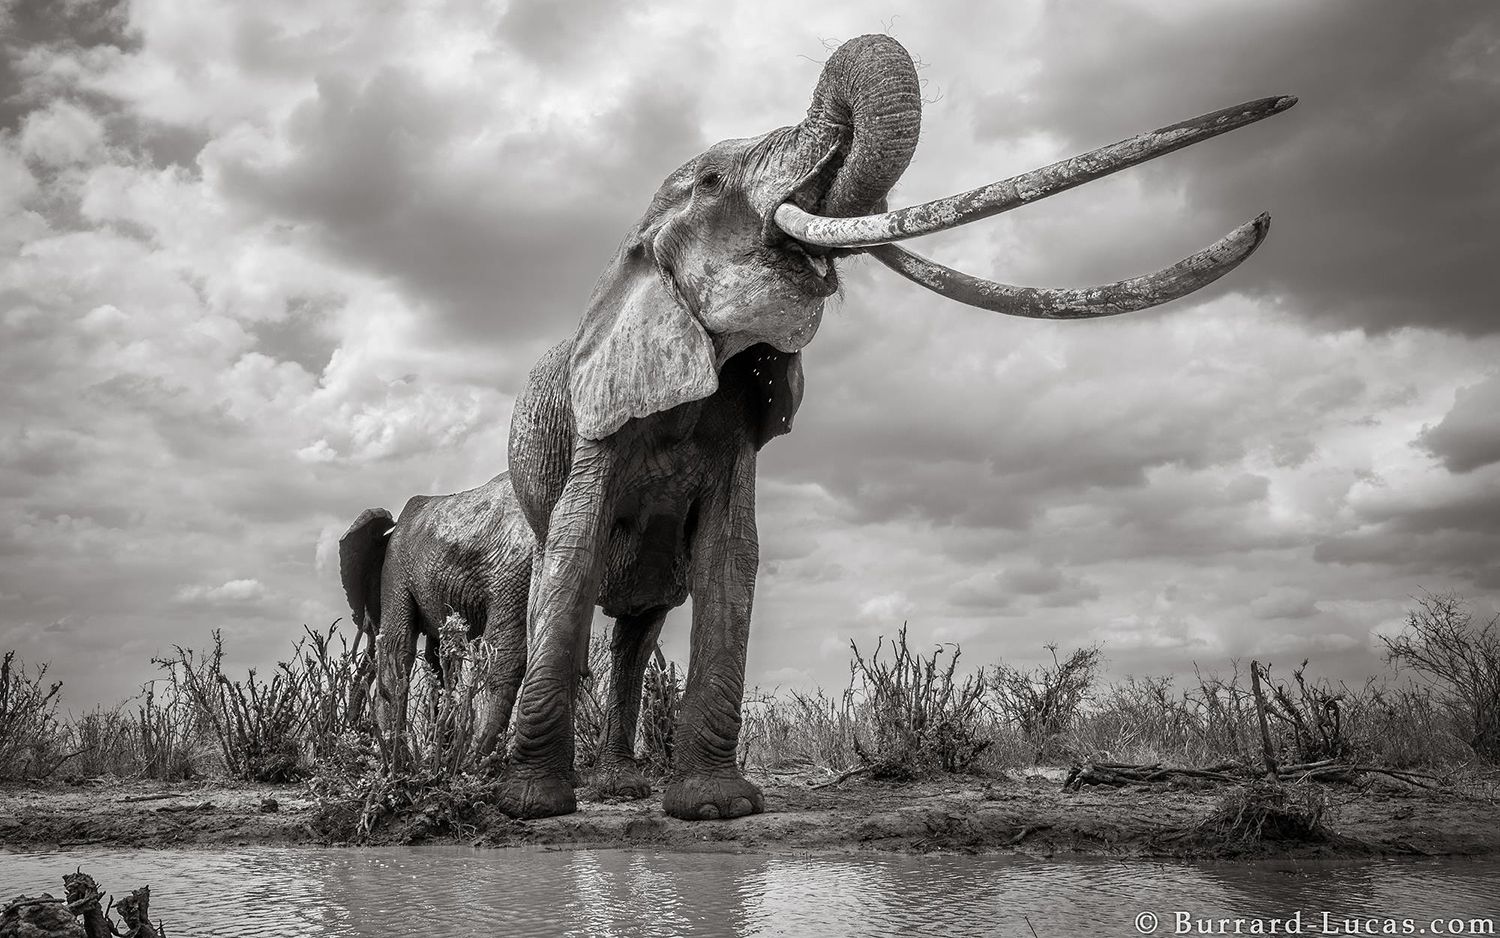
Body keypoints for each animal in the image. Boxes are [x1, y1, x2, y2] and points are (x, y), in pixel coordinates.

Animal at [340, 471, 536, 760]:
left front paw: (394, 757)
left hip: (513, 569)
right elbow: (439, 662)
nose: (357, 732)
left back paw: (473, 760)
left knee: (503, 653)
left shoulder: (395, 569)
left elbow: (396, 649)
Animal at [368, 33, 1294, 821]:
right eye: (712, 183)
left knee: (638, 632)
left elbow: (732, 556)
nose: (1284, 102)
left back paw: (620, 785)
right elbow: (572, 554)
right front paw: (530, 808)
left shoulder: (738, 420)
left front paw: (715, 809)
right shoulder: (597, 415)